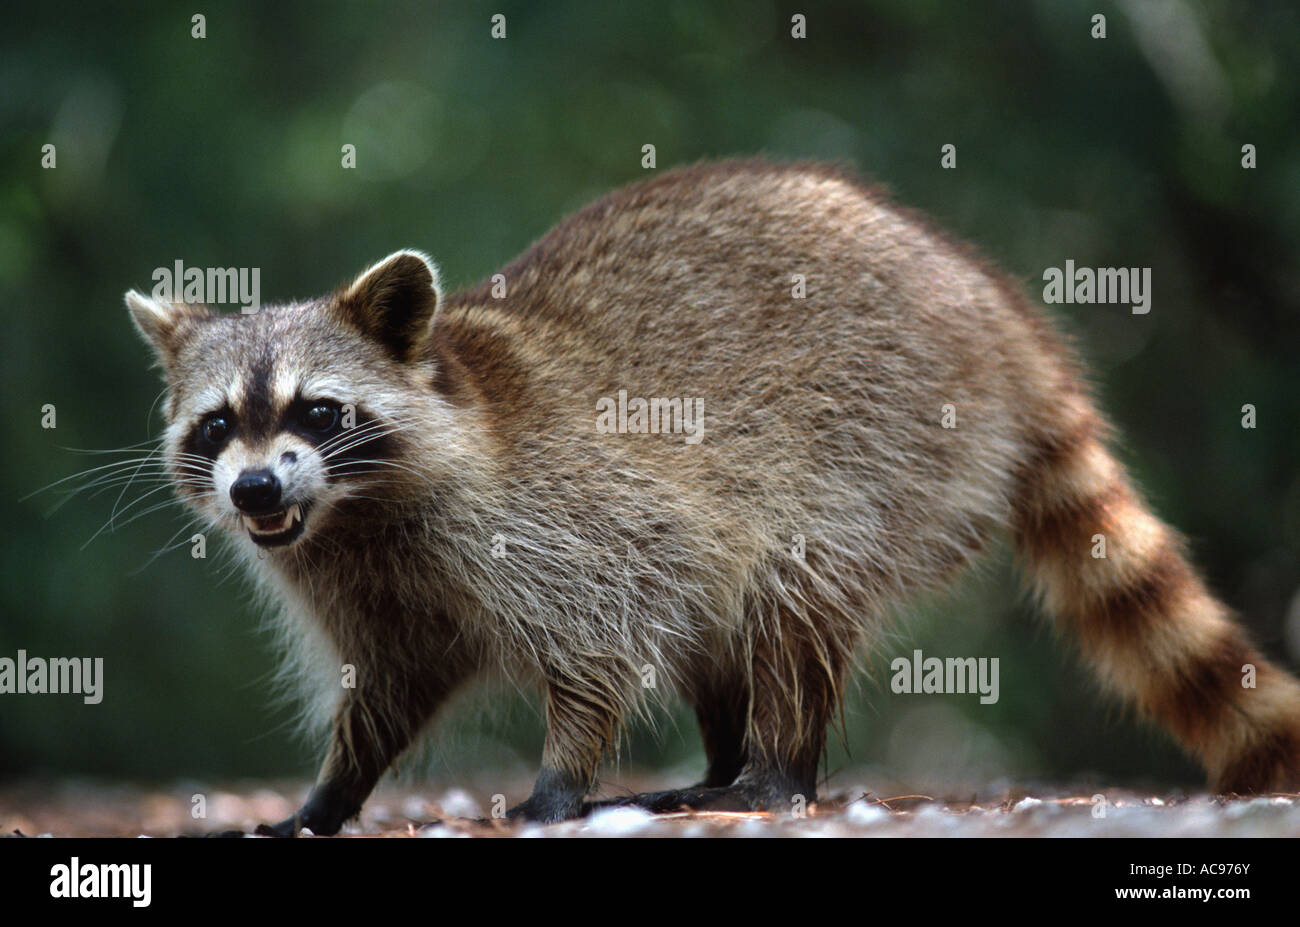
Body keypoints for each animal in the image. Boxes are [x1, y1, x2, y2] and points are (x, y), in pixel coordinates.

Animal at [126, 159, 1300, 834]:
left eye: (317, 412)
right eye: (219, 426)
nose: (256, 487)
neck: (358, 509)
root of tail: (995, 309)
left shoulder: (559, 511)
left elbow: (596, 642)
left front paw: (563, 774)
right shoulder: (361, 578)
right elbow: (388, 684)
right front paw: (330, 794)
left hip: (883, 431)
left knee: (791, 585)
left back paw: (773, 771)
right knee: (722, 611)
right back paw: (732, 752)